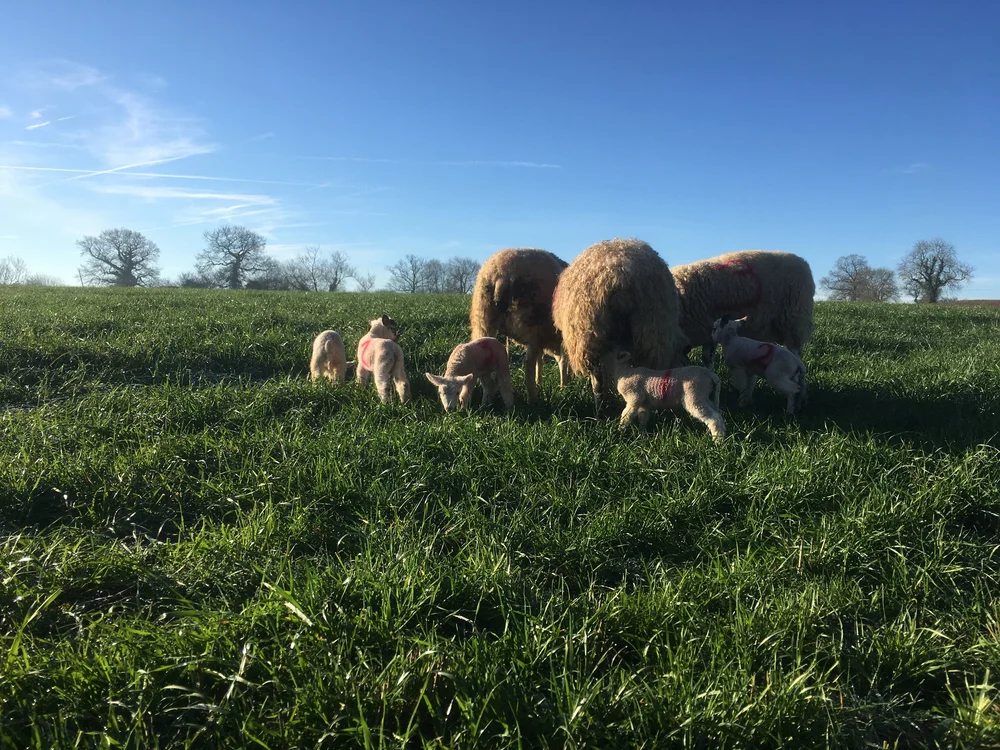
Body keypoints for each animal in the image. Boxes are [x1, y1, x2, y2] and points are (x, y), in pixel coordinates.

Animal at [470, 248, 570, 402]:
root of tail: (501, 274)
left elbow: (541, 359)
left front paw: (541, 381)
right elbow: (562, 361)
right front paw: (564, 386)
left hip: (483, 319)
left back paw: (486, 401)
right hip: (533, 323)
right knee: (528, 363)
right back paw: (533, 399)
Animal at [672, 250, 815, 370]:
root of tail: (803, 262)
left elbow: (707, 357)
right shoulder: (706, 331)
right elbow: (706, 357)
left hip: (794, 320)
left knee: (795, 351)